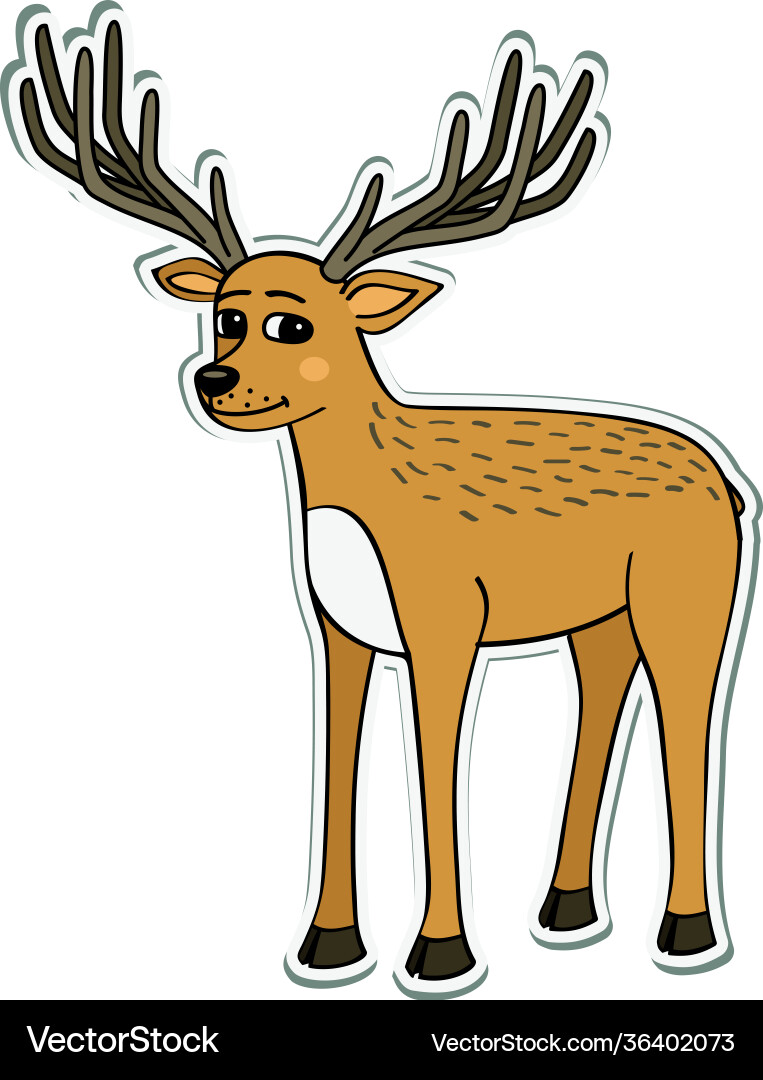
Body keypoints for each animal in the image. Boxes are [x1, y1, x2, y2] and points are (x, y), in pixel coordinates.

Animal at [5, 8, 753, 998]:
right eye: (226, 316)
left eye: (293, 322)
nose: (211, 380)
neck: (372, 498)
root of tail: (726, 479)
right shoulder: (339, 629)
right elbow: (339, 763)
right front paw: (329, 945)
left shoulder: (444, 619)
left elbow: (435, 769)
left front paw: (440, 953)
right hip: (597, 615)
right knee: (602, 696)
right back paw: (565, 911)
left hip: (688, 594)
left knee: (688, 721)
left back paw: (686, 933)